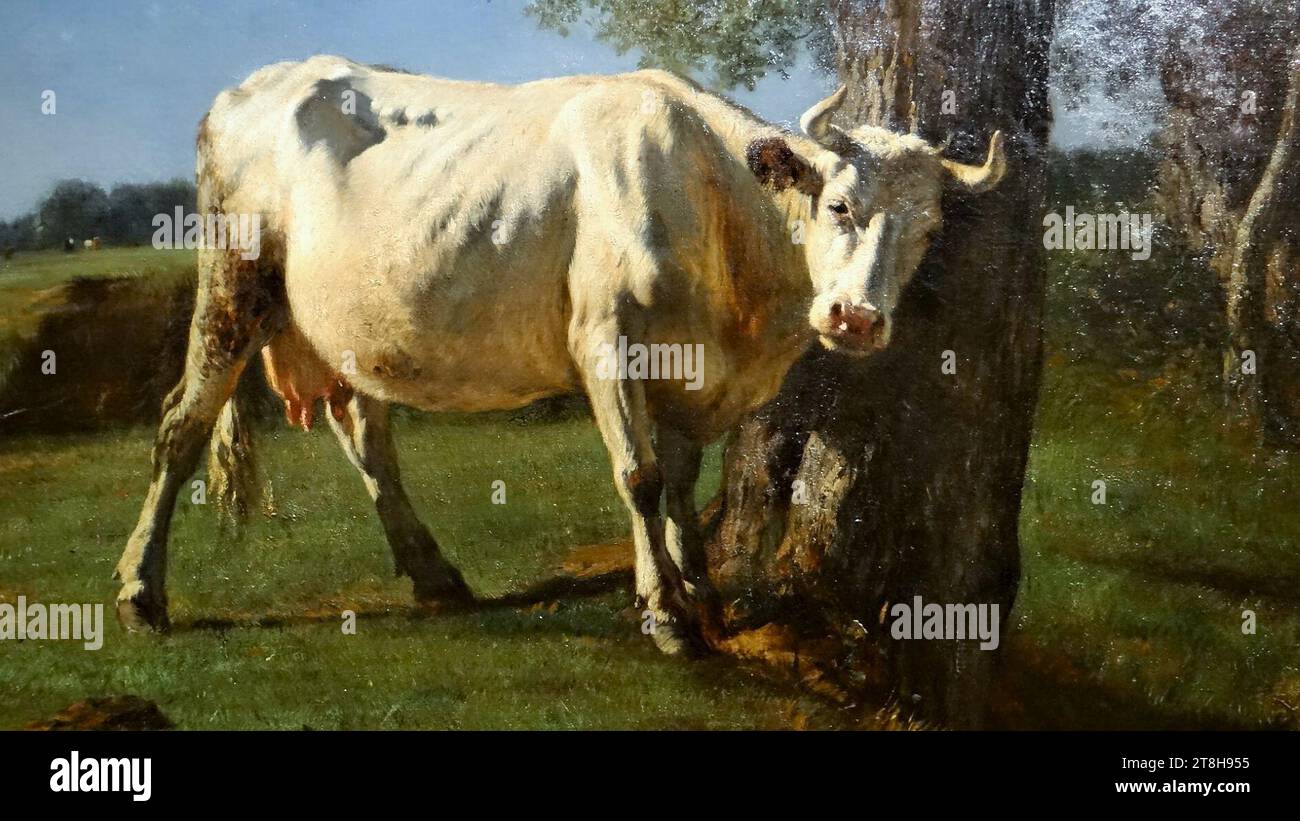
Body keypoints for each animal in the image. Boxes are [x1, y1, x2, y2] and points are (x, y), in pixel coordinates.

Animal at [113, 56, 1005, 655]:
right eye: (840, 204)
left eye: (928, 230)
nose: (855, 318)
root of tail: (256, 83)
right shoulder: (606, 342)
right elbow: (641, 477)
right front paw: (667, 615)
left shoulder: (695, 375)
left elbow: (682, 481)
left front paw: (704, 593)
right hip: (233, 280)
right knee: (181, 424)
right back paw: (139, 593)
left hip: (351, 324)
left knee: (364, 434)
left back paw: (435, 575)